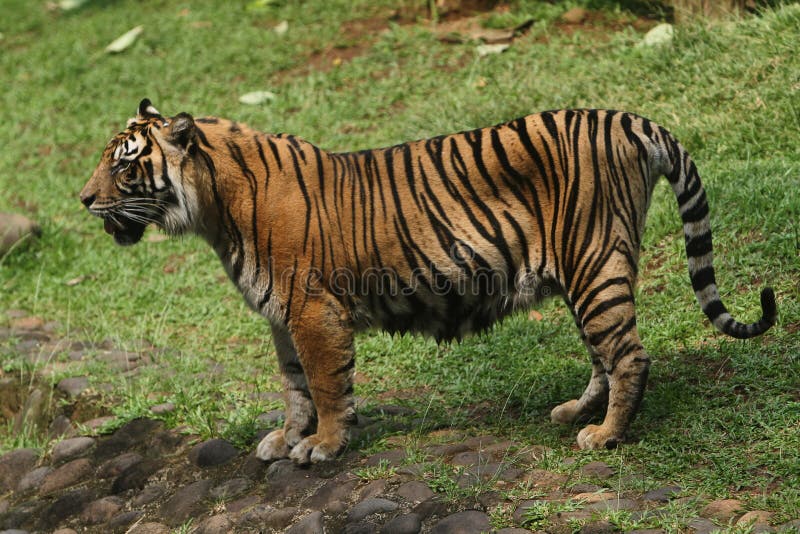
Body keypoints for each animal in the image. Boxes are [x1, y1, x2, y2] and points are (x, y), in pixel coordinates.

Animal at [80, 99, 776, 464]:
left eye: (124, 164)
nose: (83, 199)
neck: (214, 208)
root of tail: (626, 118)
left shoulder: (311, 310)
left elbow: (326, 386)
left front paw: (323, 446)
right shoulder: (281, 316)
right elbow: (295, 387)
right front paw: (286, 437)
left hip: (593, 263)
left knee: (629, 355)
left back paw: (604, 436)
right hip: (585, 276)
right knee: (604, 355)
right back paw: (576, 412)